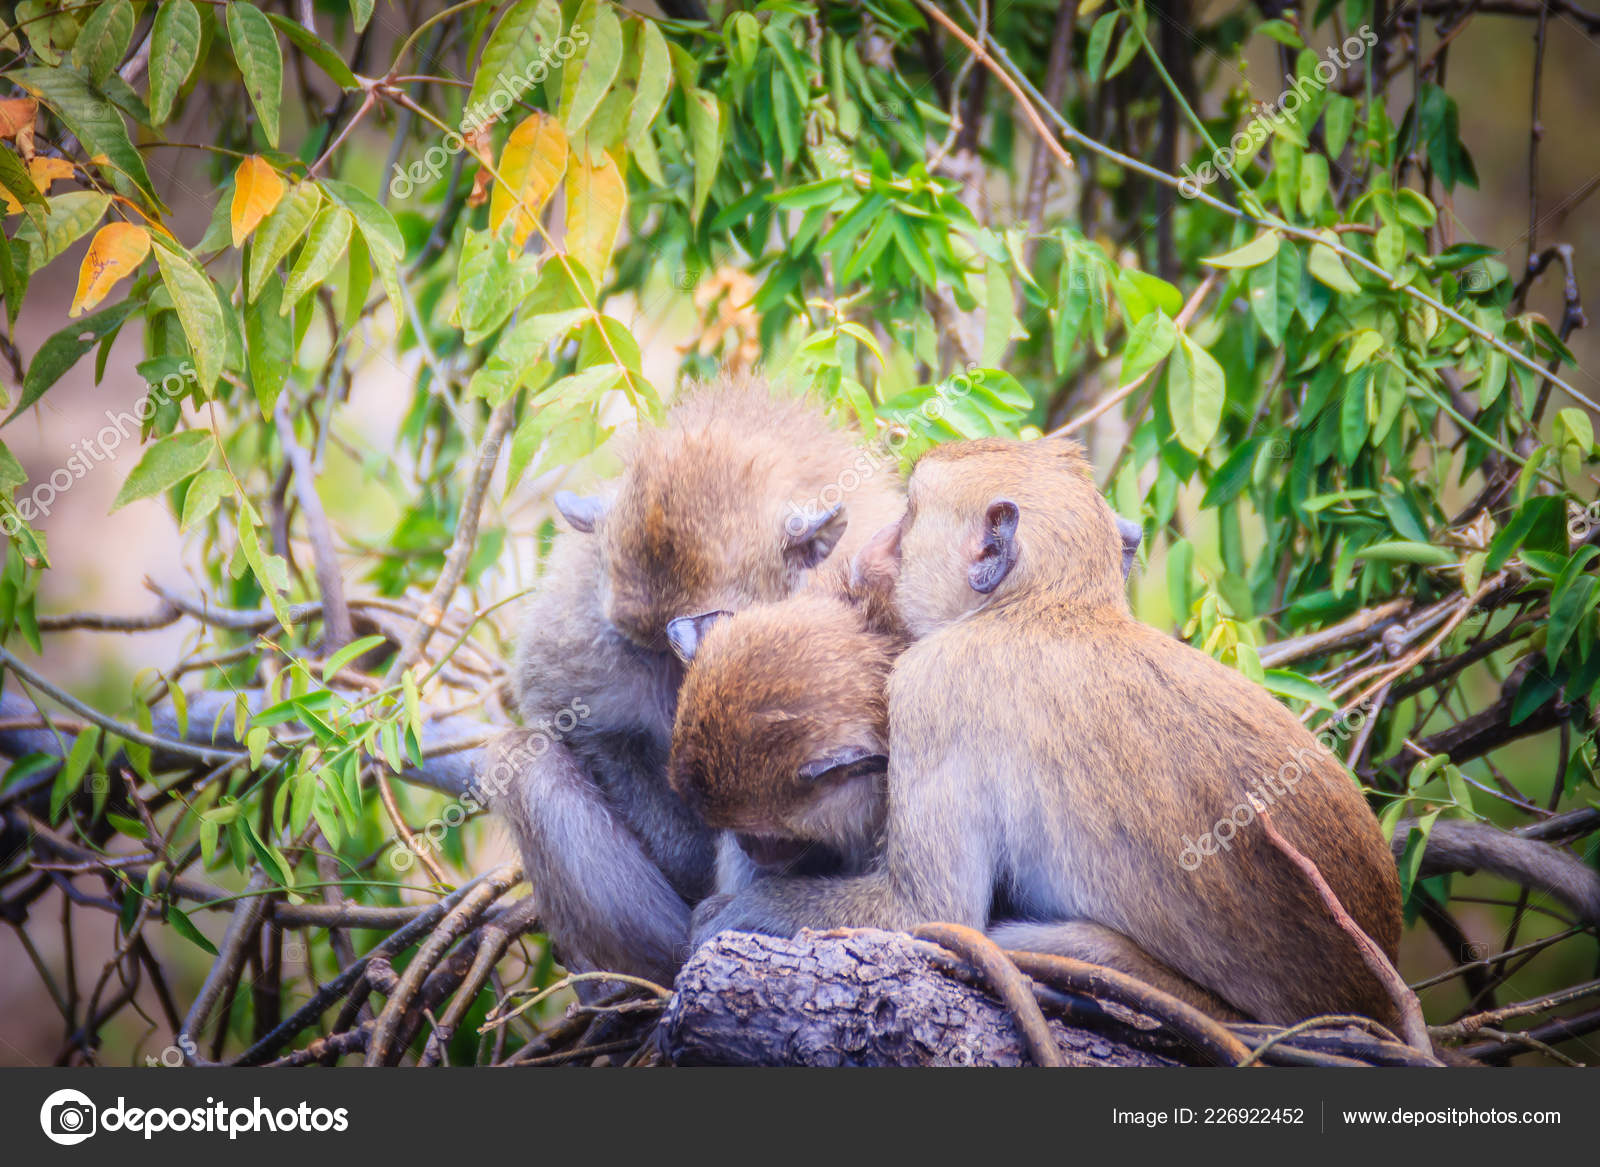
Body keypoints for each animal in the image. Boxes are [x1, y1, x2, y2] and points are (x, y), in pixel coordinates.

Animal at [485, 373, 907, 985]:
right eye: (648, 651)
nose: (679, 696)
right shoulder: (581, 611)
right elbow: (571, 715)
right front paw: (686, 855)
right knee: (522, 763)